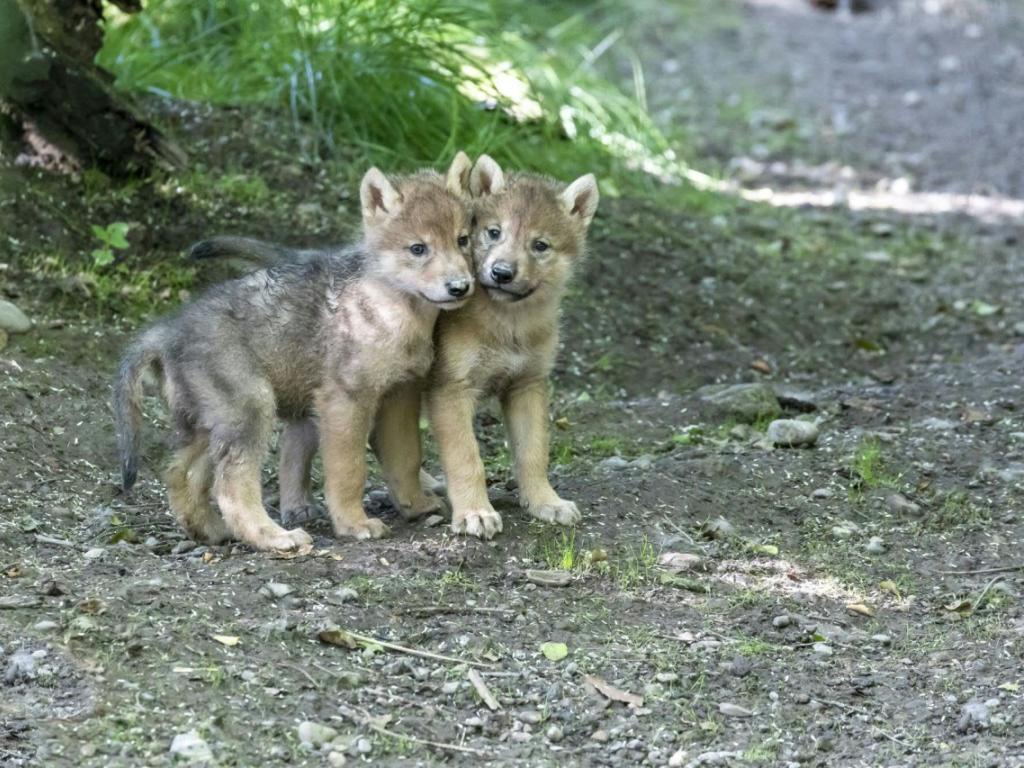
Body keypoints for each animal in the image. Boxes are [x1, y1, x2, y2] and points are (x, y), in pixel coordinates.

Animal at [113, 154, 475, 552]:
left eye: (462, 240)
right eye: (418, 249)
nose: (460, 287)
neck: (391, 309)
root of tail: (166, 330)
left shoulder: (398, 396)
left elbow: (405, 458)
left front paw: (416, 505)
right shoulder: (344, 401)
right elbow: (349, 471)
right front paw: (354, 524)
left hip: (213, 424)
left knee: (180, 473)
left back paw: (210, 531)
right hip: (251, 409)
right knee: (231, 487)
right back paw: (276, 537)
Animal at [193, 156, 599, 540]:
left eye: (540, 245)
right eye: (494, 233)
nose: (501, 273)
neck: (508, 327)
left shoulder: (527, 386)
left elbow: (533, 454)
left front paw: (546, 502)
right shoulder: (451, 391)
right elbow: (467, 458)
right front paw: (475, 513)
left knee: (301, 444)